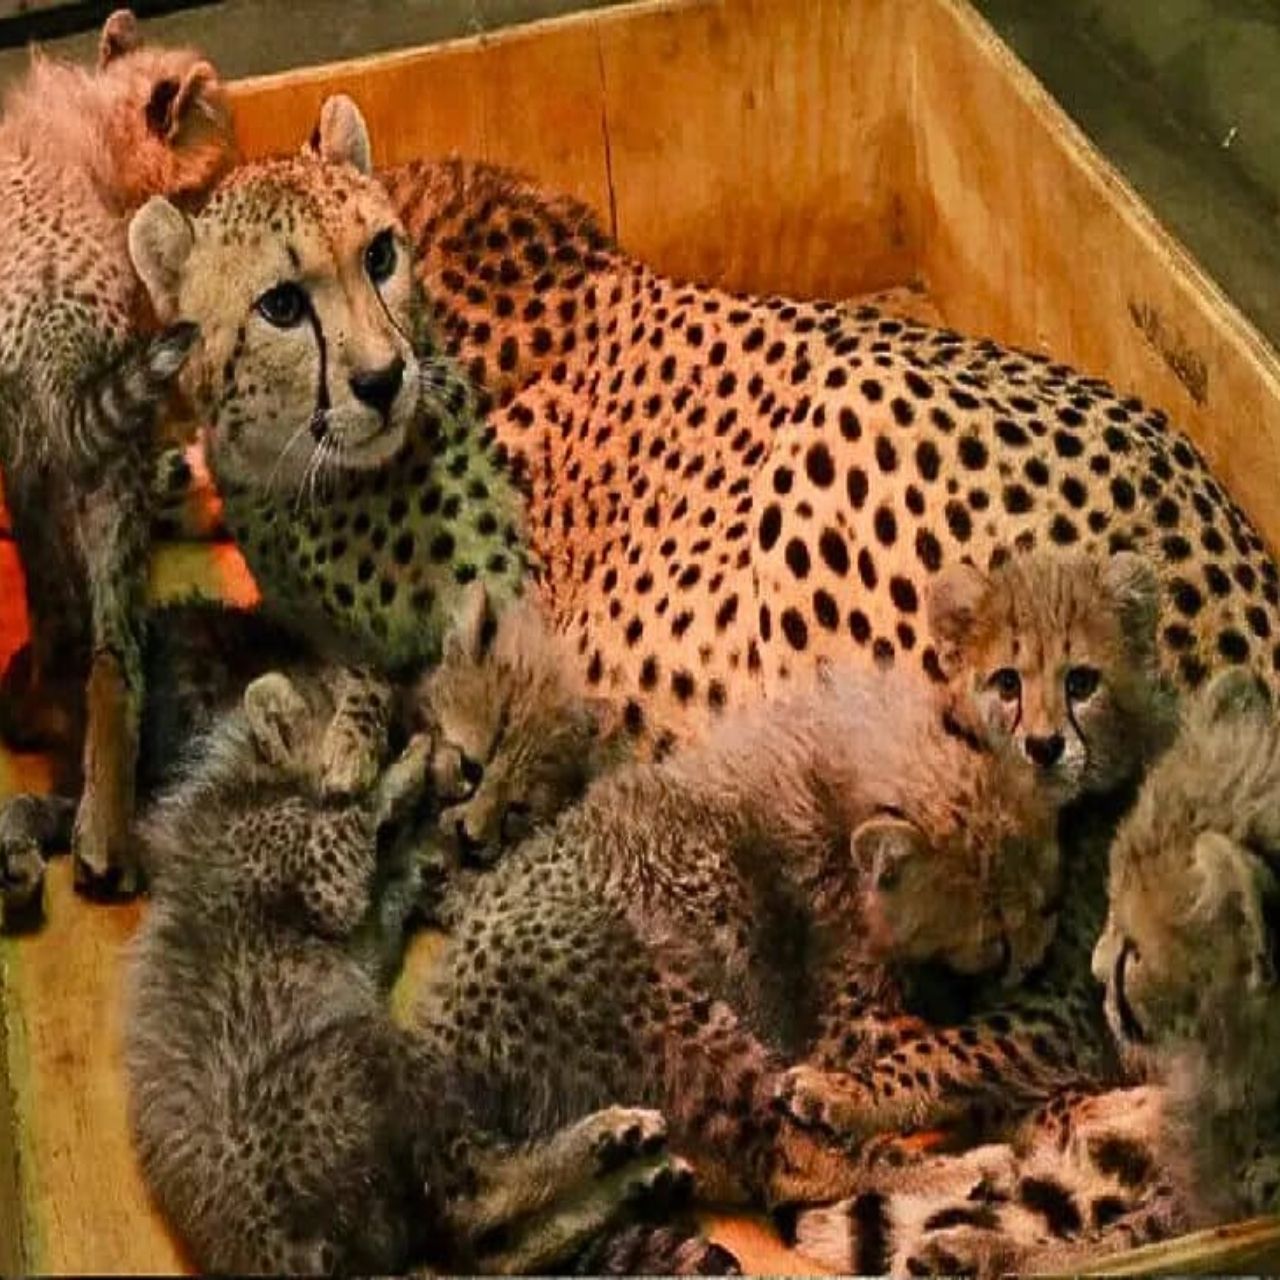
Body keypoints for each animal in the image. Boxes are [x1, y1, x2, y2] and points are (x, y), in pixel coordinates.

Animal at [126, 655, 736, 1275]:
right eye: (369, 723)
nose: (453, 766)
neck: (246, 777)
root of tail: (275, 1254)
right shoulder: (318, 871)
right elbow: (359, 817)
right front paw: (407, 768)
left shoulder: (360, 917)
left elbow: (383, 883)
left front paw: (421, 854)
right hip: (369, 1062)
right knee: (478, 1200)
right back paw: (614, 1142)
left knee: (486, 1245)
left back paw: (633, 1178)